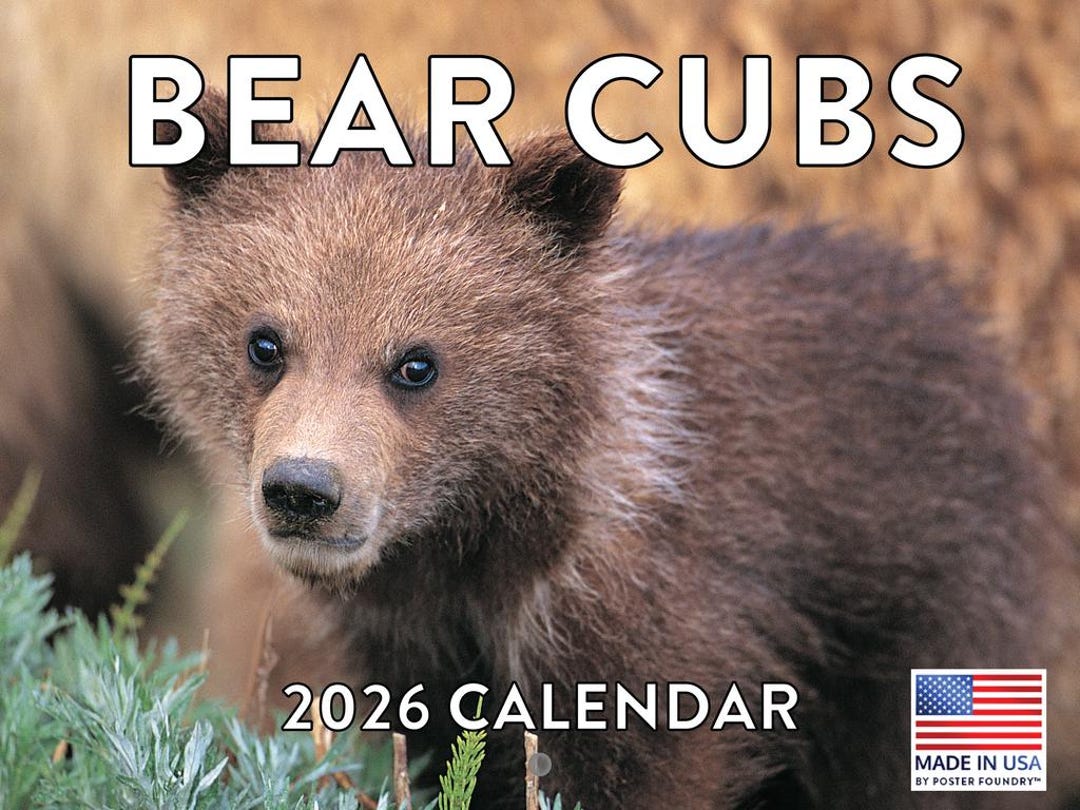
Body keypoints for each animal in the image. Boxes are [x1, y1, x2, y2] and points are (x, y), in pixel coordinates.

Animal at [138, 90, 1063, 808]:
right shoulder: (415, 640)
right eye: (265, 342)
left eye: (416, 361)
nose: (303, 489)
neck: (485, 540)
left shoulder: (650, 623)